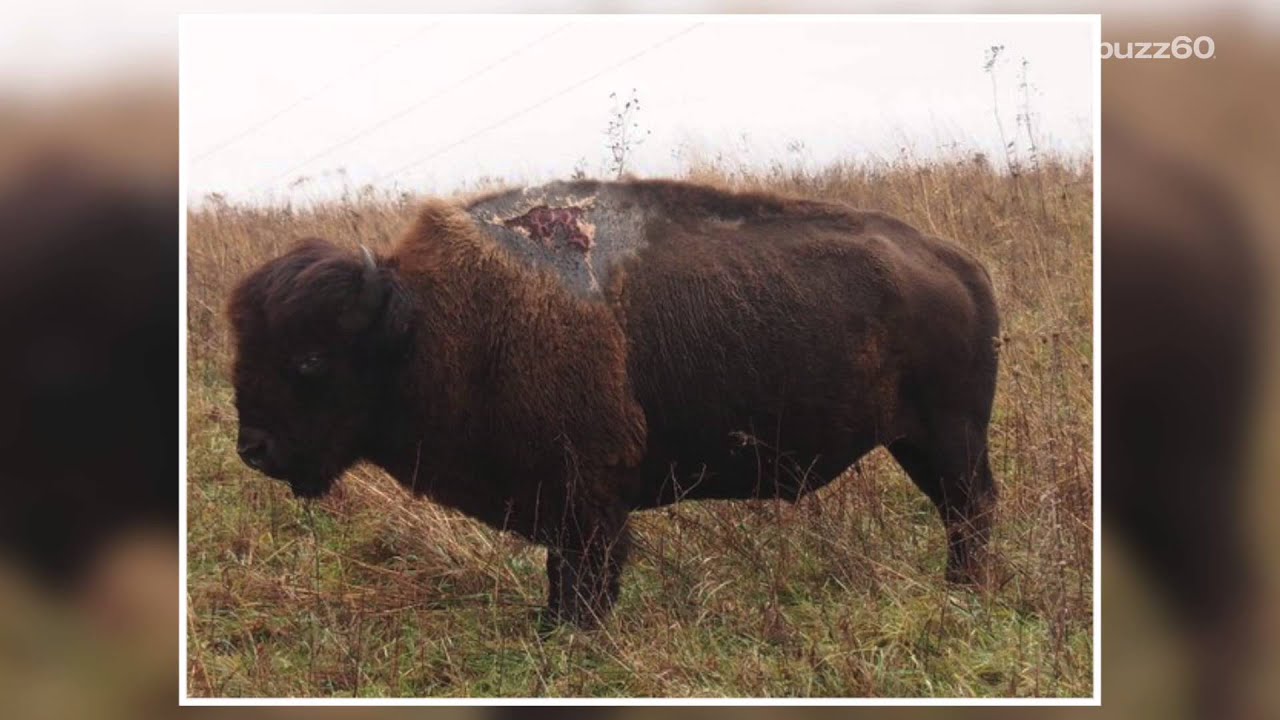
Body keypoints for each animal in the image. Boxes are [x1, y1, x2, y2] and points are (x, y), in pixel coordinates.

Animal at [228, 179, 1000, 626]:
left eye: (309, 358)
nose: (253, 448)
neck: (424, 322)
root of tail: (956, 263)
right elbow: (560, 575)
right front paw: (550, 627)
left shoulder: (589, 502)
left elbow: (586, 575)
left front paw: (576, 633)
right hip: (917, 443)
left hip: (949, 437)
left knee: (972, 509)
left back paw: (964, 593)